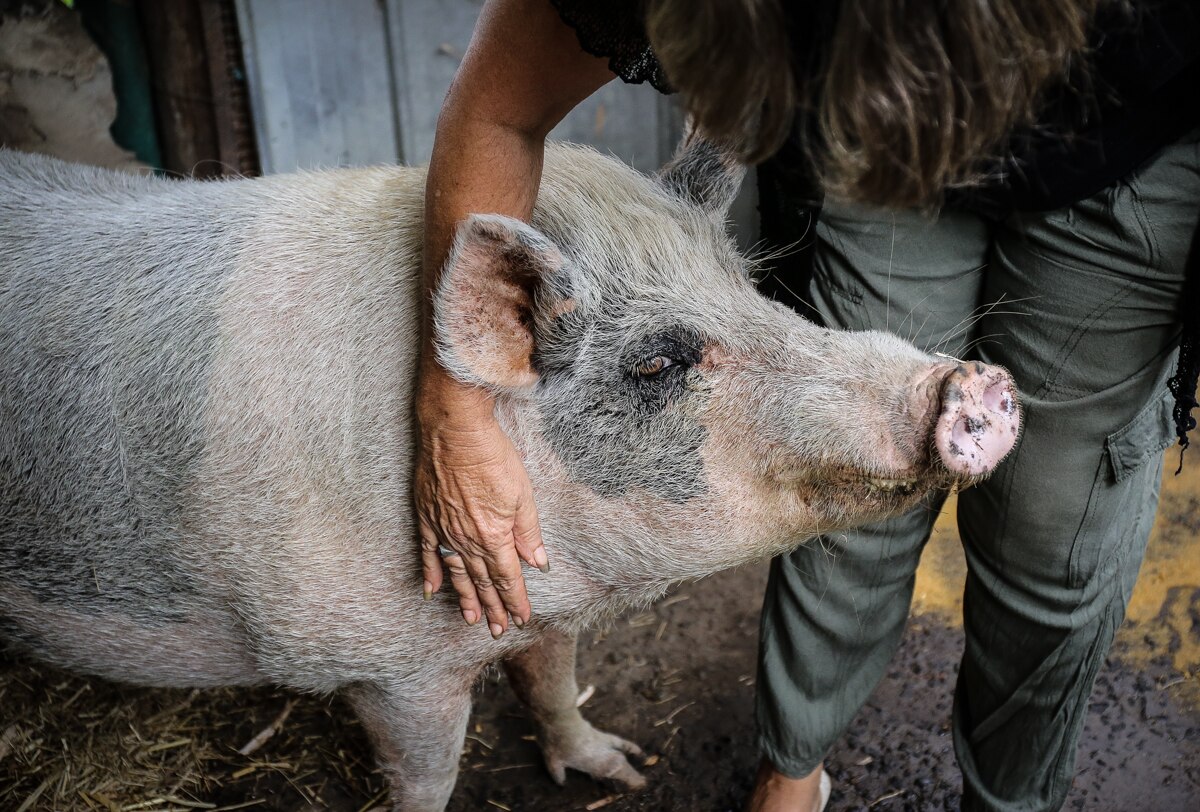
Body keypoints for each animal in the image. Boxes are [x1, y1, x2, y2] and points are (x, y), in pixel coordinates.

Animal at [0, 139, 1020, 811]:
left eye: (749, 289)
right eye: (656, 361)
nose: (975, 383)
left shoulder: (545, 605)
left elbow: (551, 681)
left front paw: (625, 769)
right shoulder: (384, 666)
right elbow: (428, 778)